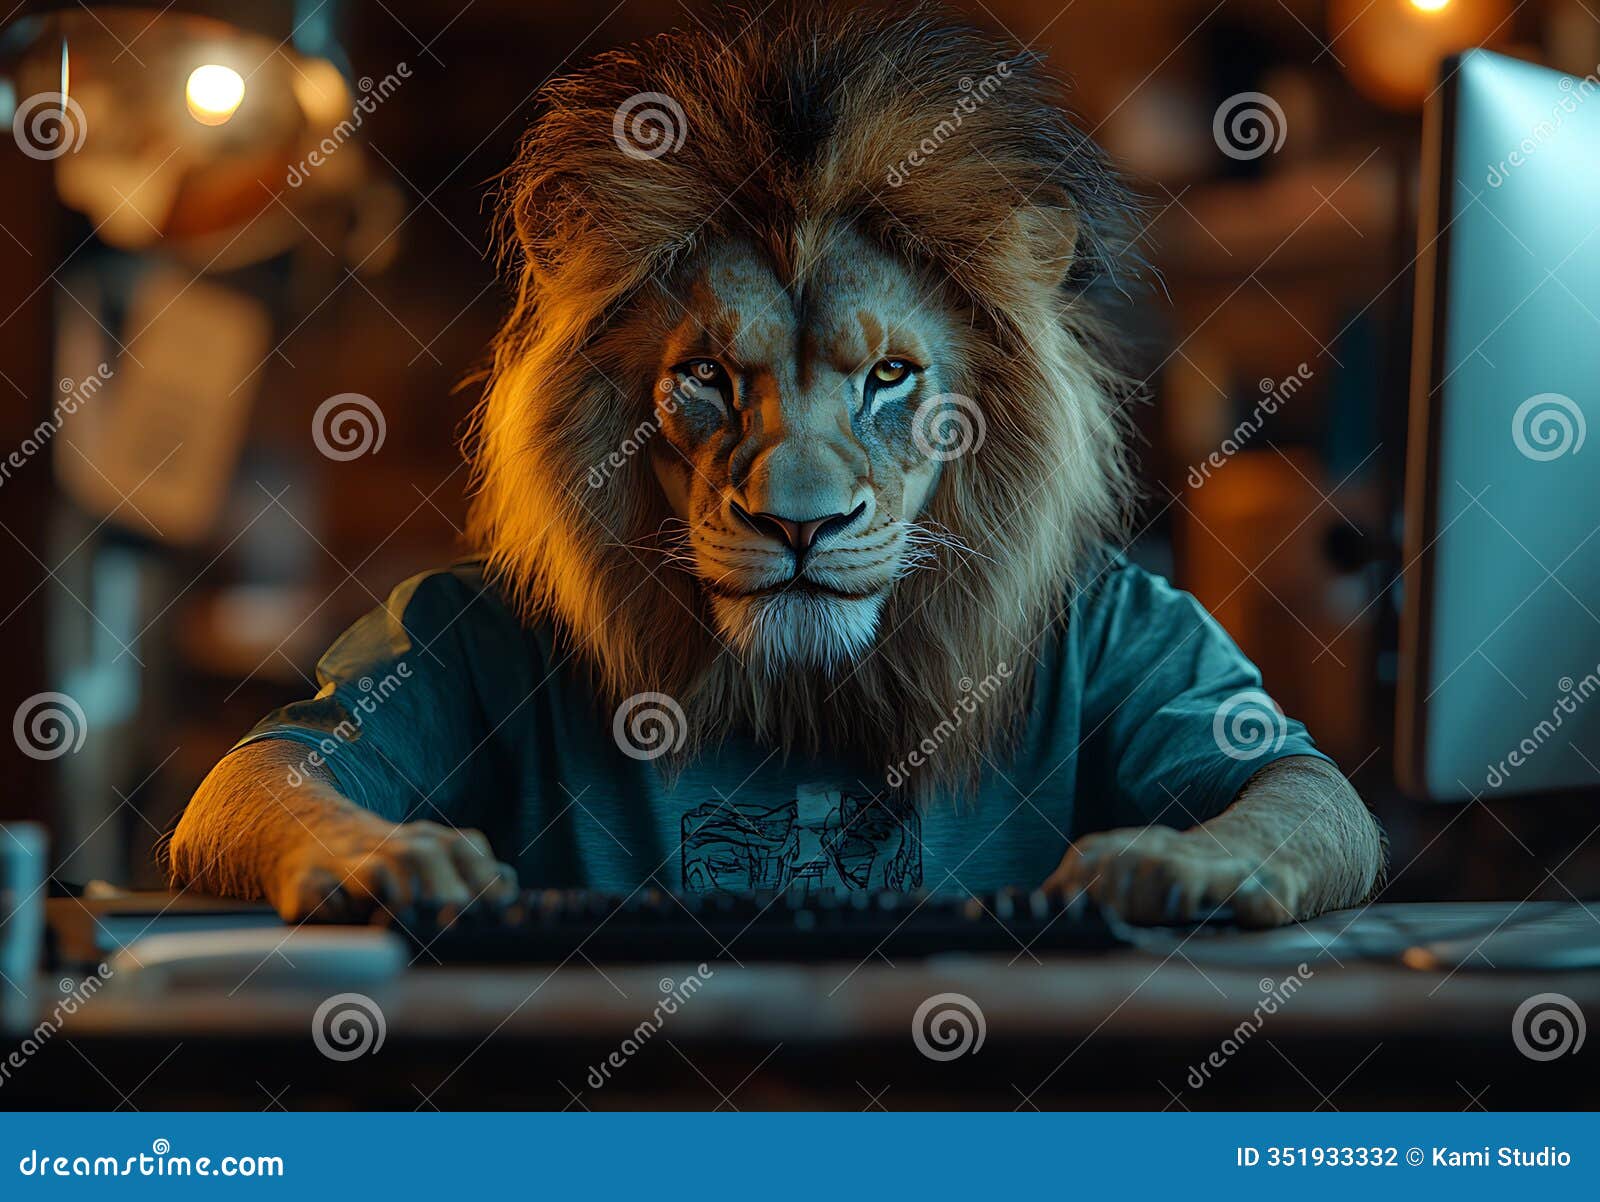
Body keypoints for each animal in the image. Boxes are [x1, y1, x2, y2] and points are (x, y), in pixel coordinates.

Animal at [170, 4, 1384, 928]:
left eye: (890, 377)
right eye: (707, 376)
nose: (800, 527)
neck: (798, 695)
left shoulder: (1142, 618)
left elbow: (1287, 769)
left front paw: (1175, 866)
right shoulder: (431, 620)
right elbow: (282, 761)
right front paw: (396, 860)